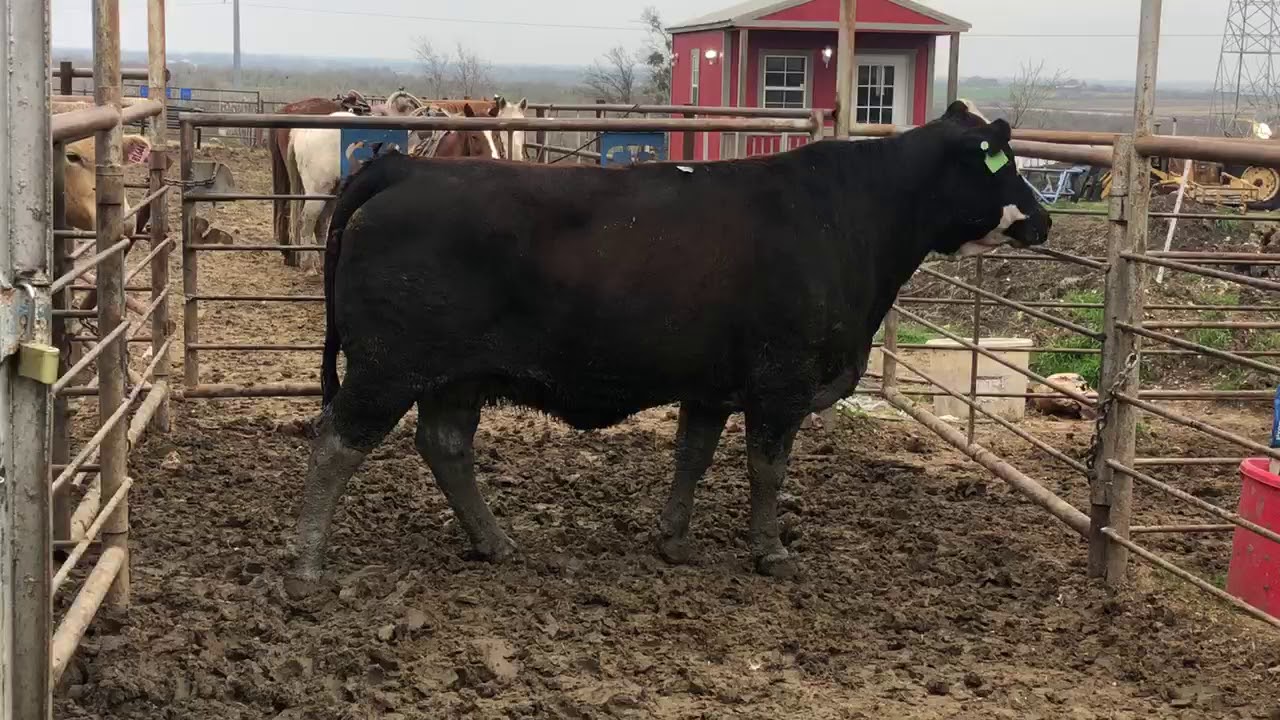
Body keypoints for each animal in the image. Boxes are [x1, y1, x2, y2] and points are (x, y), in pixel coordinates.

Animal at [282, 101, 1051, 598]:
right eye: (1001, 162)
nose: (1042, 219)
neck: (849, 215)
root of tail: (406, 167)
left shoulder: (710, 382)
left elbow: (693, 455)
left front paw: (673, 540)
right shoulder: (782, 381)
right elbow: (766, 469)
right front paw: (772, 551)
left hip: (455, 376)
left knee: (444, 445)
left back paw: (495, 542)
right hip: (386, 368)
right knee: (335, 444)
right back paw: (306, 571)